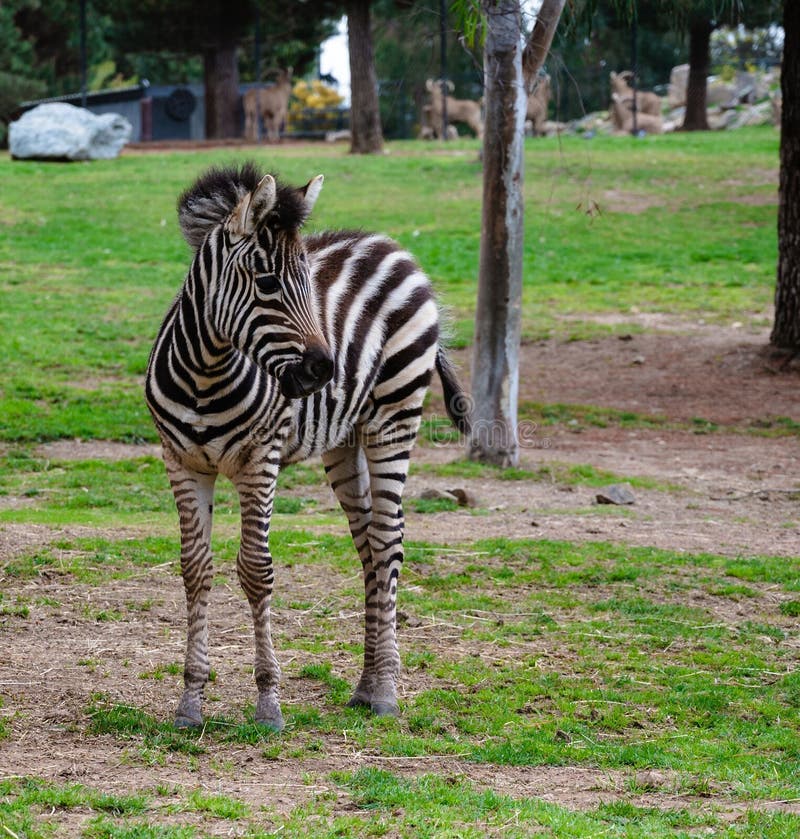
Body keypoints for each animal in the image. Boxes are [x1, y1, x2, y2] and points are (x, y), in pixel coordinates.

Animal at [145, 162, 470, 730]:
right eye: (269, 283)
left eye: (308, 281)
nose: (324, 371)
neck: (206, 373)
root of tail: (390, 245)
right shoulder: (182, 463)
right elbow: (195, 569)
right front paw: (190, 701)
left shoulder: (260, 462)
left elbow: (256, 570)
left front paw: (268, 701)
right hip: (343, 440)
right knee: (369, 546)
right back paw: (365, 685)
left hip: (395, 416)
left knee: (388, 539)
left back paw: (386, 691)